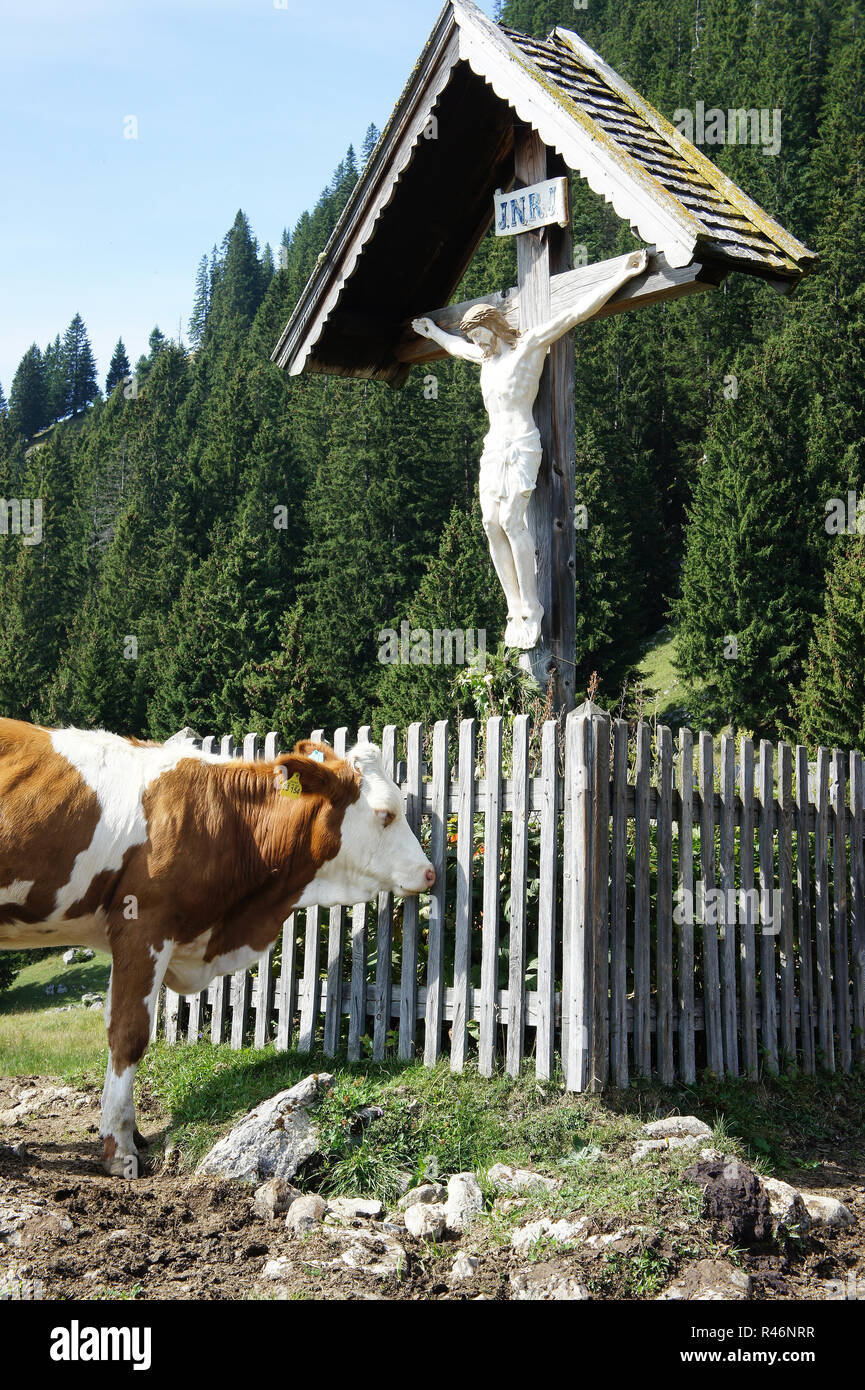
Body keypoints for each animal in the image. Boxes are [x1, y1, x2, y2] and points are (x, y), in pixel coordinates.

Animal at [0, 718, 434, 1176]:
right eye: (385, 813)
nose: (429, 872)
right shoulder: (142, 926)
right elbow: (128, 1033)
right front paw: (119, 1148)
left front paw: (130, 1130)